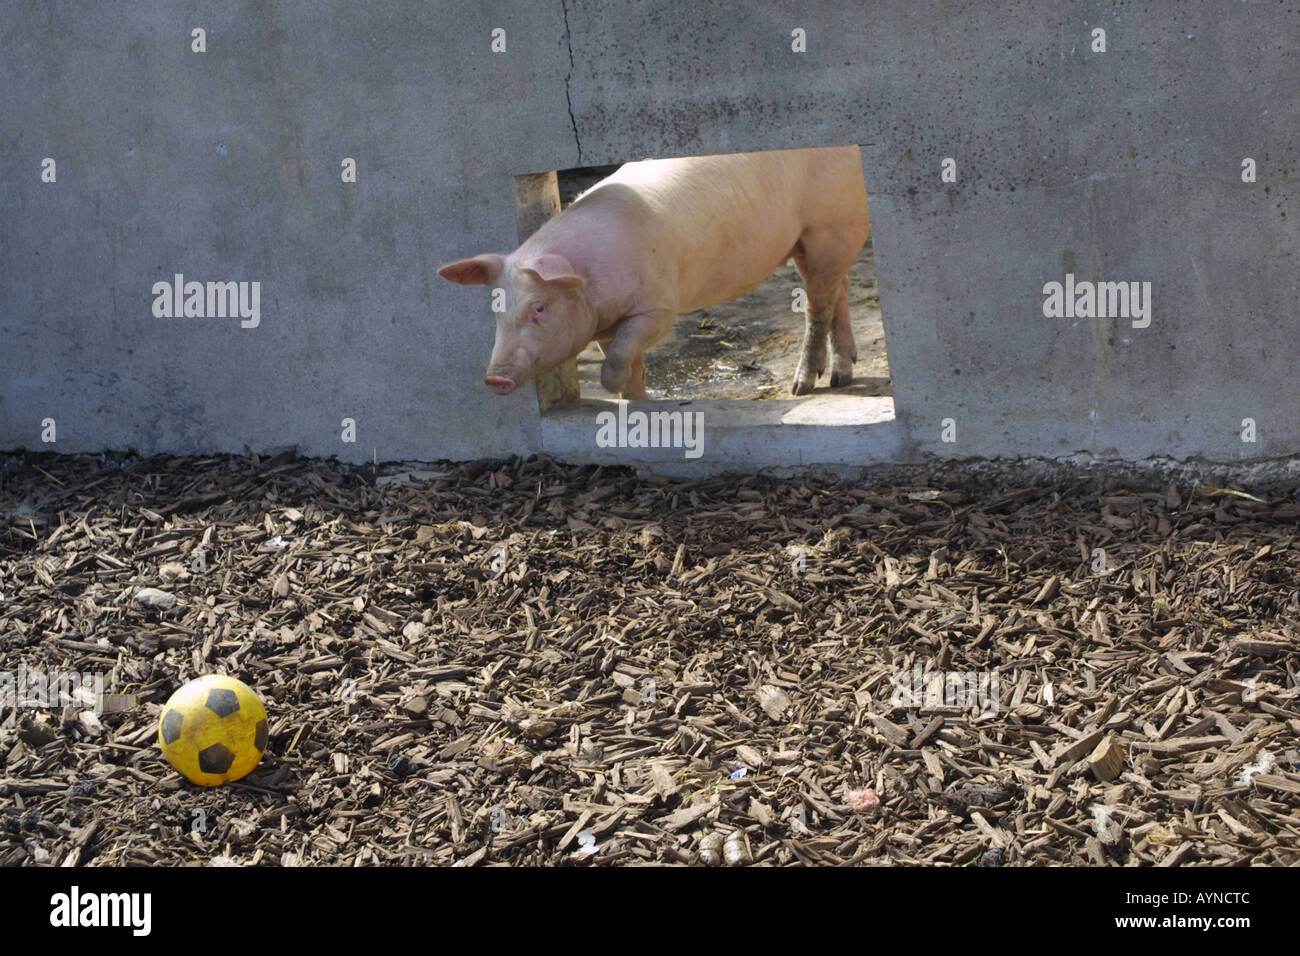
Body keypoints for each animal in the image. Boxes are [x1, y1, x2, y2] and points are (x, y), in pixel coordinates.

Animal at [438, 146, 870, 400]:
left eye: (540, 308)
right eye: (496, 311)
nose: (494, 378)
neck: (592, 284)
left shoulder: (658, 307)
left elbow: (622, 353)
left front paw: (614, 389)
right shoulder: (604, 323)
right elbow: (623, 357)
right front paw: (635, 401)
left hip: (831, 225)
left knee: (818, 305)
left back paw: (803, 387)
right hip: (807, 242)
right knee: (840, 289)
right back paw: (843, 374)